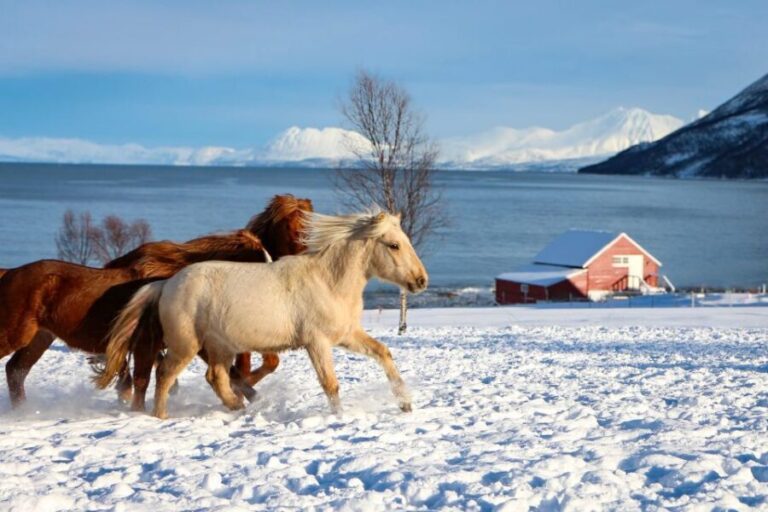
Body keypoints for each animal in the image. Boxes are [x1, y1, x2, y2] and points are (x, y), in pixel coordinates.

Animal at [0, 194, 312, 409]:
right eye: (291, 228)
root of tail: (9, 274)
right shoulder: (153, 343)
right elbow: (144, 381)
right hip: (17, 335)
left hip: (39, 338)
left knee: (16, 372)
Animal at [96, 210, 428, 419]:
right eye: (394, 245)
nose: (421, 280)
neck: (328, 282)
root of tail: (165, 284)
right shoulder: (317, 343)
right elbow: (330, 383)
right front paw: (340, 417)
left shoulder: (346, 335)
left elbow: (383, 353)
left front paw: (405, 404)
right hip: (186, 345)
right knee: (165, 374)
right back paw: (162, 415)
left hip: (220, 347)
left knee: (215, 377)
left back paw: (238, 406)